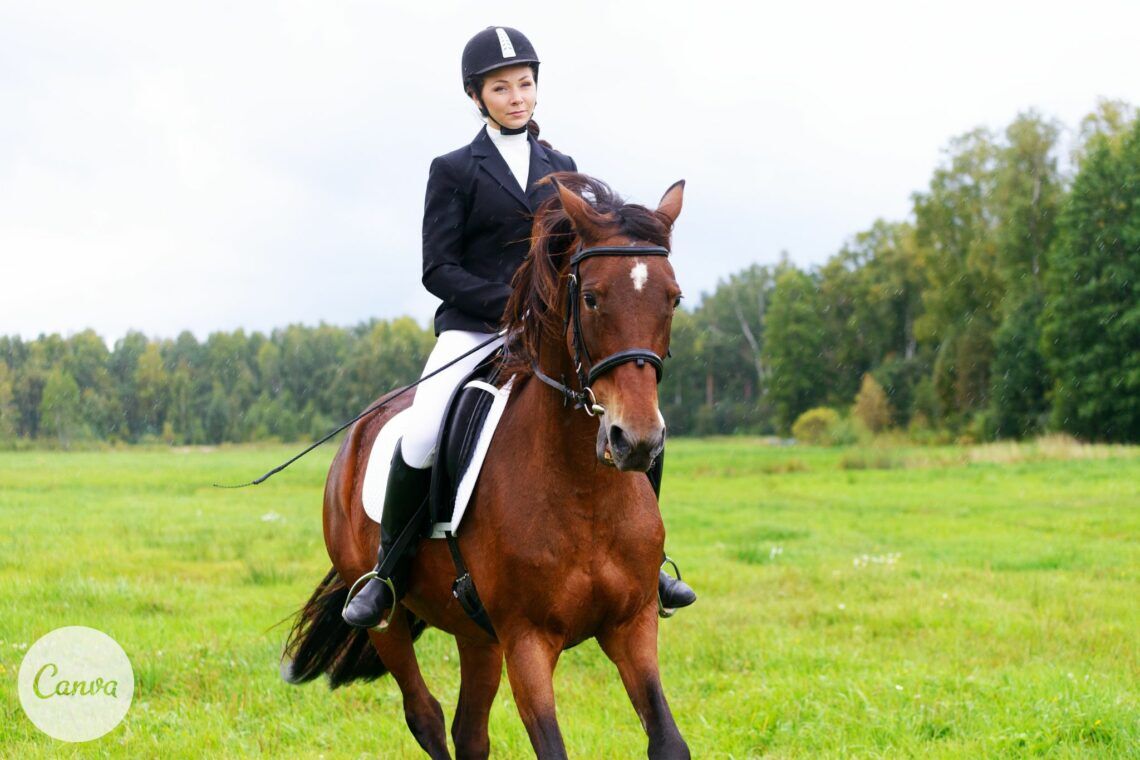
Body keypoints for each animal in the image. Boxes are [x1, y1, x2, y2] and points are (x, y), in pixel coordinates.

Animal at [282, 172, 690, 759]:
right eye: (591, 298)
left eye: (673, 299)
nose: (635, 440)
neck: (584, 494)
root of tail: (354, 436)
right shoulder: (526, 640)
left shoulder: (631, 626)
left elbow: (668, 741)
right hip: (391, 622)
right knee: (425, 716)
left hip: (476, 634)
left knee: (468, 732)